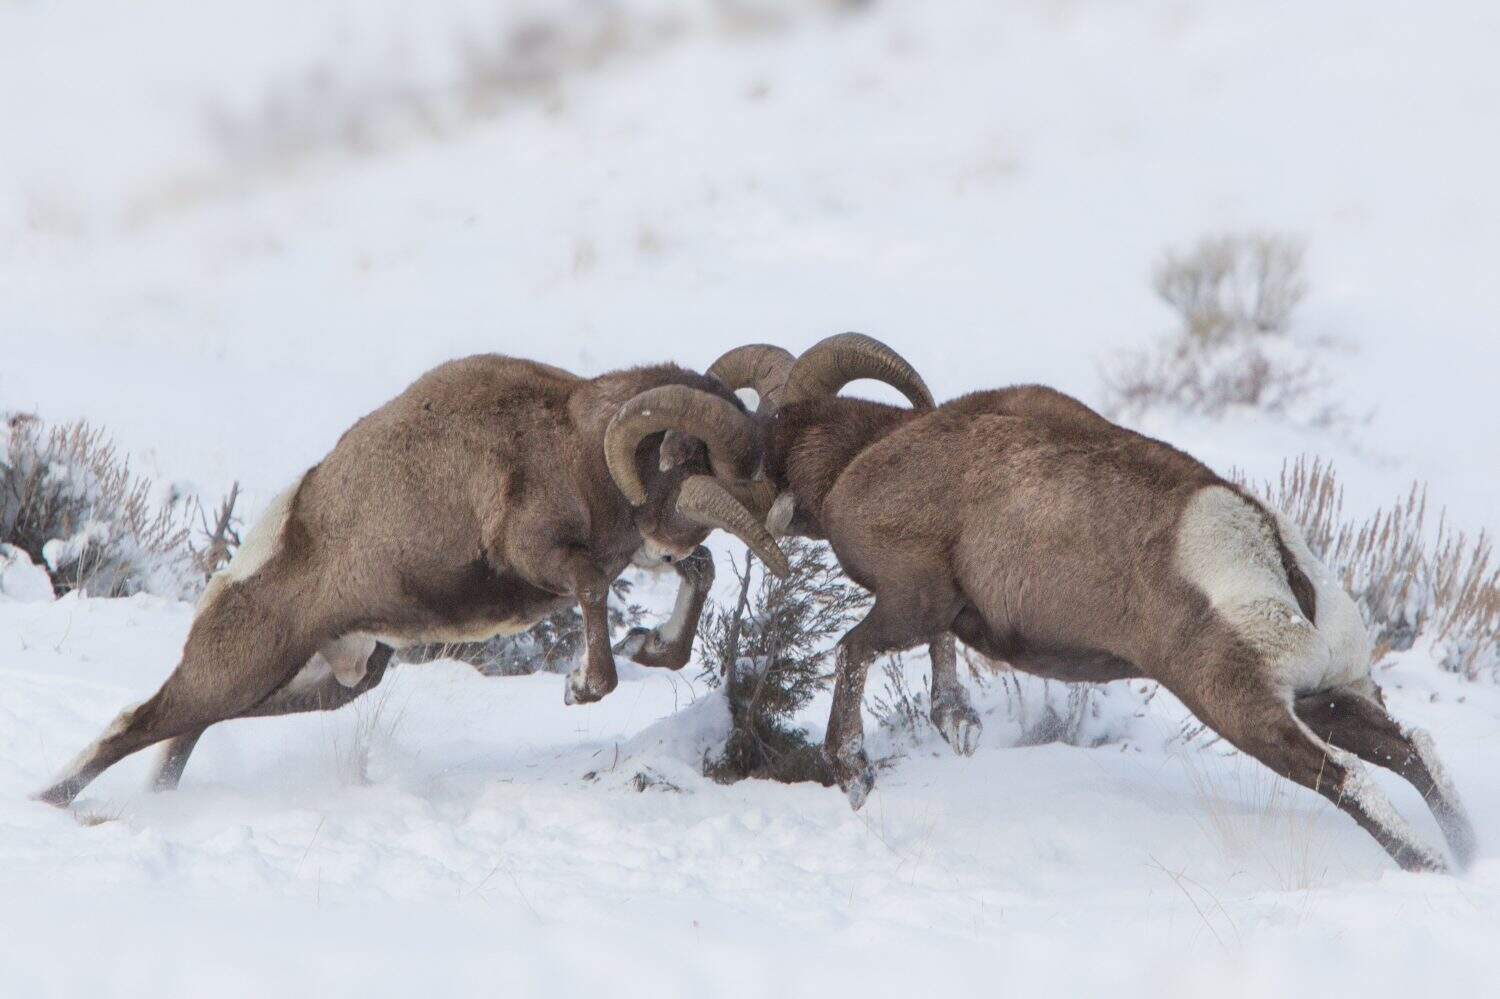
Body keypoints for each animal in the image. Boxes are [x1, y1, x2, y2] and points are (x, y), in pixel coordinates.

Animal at [36, 353, 788, 807]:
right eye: (707, 464)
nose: (778, 513)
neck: (573, 449)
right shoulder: (549, 560)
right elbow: (594, 602)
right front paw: (581, 687)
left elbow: (697, 572)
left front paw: (651, 647)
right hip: (244, 668)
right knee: (138, 724)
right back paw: (50, 799)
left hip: (340, 677)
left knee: (190, 727)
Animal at [704, 334, 1476, 873]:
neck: (866, 457)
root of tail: (1273, 554)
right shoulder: (938, 615)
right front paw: (955, 724)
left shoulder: (910, 601)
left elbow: (853, 652)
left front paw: (854, 774)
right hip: (1328, 698)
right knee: (1417, 757)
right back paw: (1467, 858)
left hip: (1246, 710)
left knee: (1348, 781)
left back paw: (1431, 870)